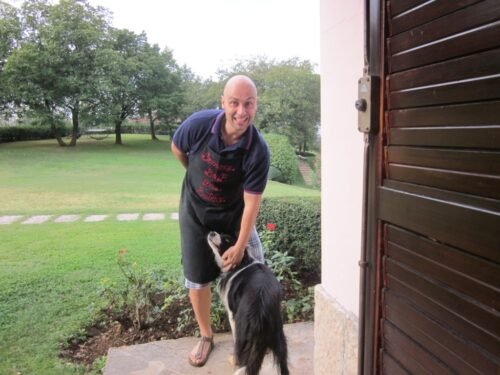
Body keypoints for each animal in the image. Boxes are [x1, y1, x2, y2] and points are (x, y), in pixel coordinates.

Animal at [207, 232, 290, 375]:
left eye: (227, 239)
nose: (212, 232)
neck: (242, 263)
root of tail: (261, 313)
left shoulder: (232, 314)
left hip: (245, 336)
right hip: (279, 336)